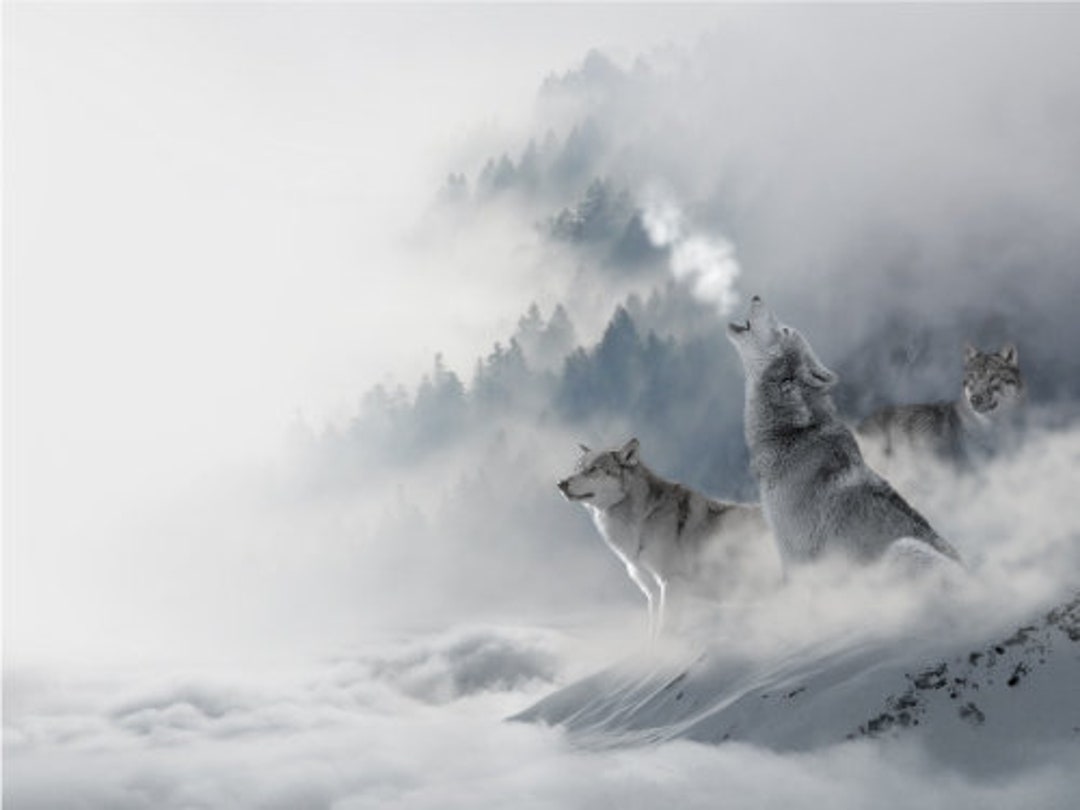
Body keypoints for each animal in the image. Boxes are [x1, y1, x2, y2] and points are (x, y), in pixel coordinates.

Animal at [557, 438, 777, 636]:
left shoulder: (671, 584)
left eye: (593, 469)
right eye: (576, 469)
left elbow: (665, 632)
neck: (642, 520)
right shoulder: (653, 594)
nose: (561, 483)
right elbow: (652, 635)